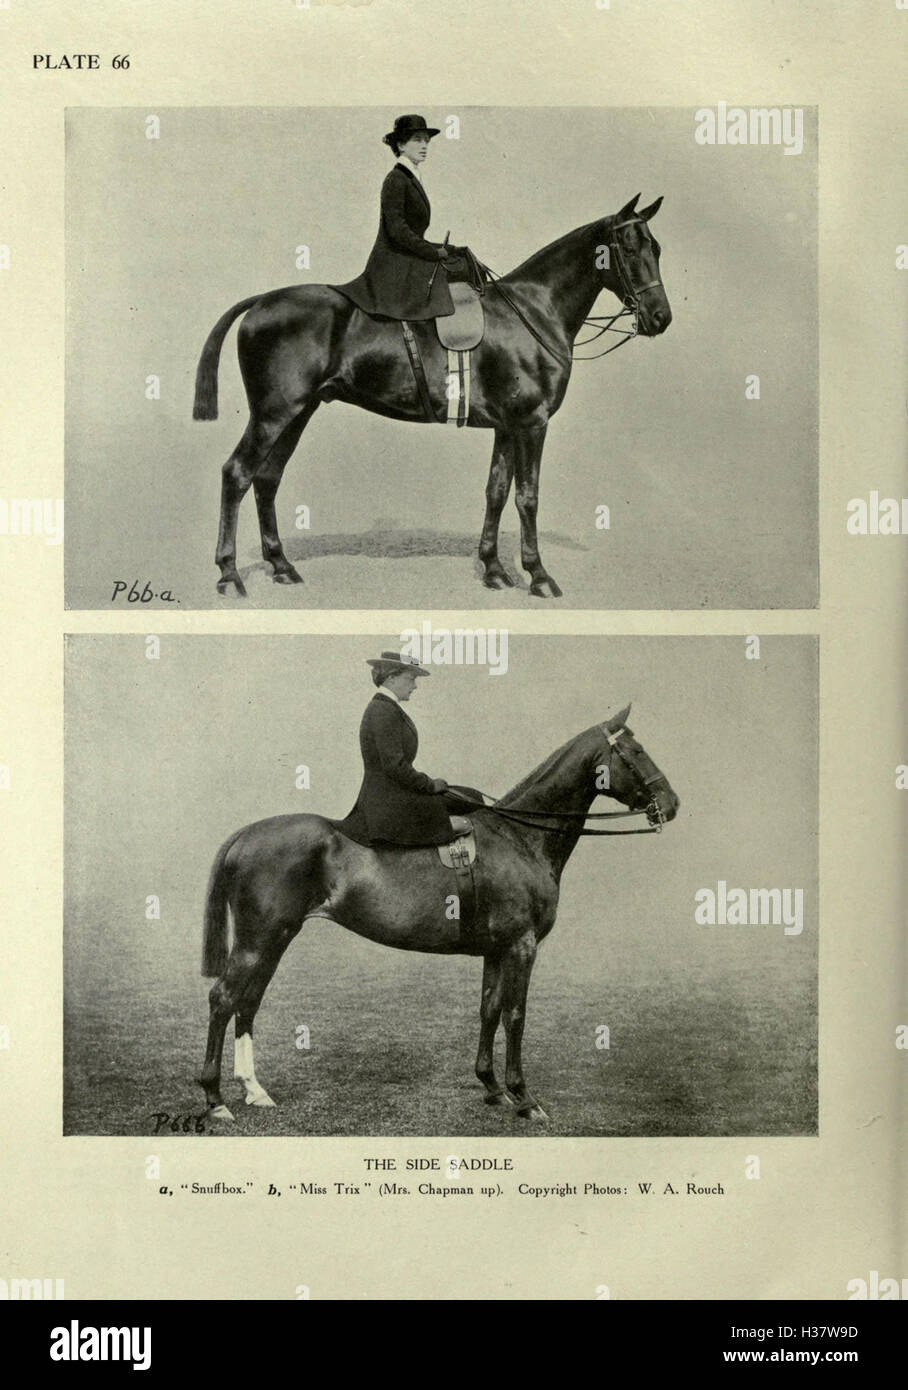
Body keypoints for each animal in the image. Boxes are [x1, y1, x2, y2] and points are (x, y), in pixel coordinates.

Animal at [193, 194, 671, 599]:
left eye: (657, 249)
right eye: (629, 249)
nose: (660, 317)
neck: (532, 311)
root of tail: (262, 301)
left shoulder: (507, 427)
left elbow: (497, 491)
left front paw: (493, 569)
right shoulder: (531, 424)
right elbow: (527, 497)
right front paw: (538, 575)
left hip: (298, 413)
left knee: (267, 478)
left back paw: (281, 565)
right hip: (273, 414)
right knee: (237, 473)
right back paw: (229, 574)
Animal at [197, 705, 679, 1124]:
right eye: (635, 752)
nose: (671, 804)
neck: (519, 837)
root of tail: (245, 835)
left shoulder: (496, 950)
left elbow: (488, 1009)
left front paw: (492, 1088)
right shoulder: (521, 946)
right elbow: (516, 1016)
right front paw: (524, 1098)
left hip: (274, 939)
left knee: (248, 1003)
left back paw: (254, 1090)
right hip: (259, 940)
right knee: (224, 999)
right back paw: (215, 1098)